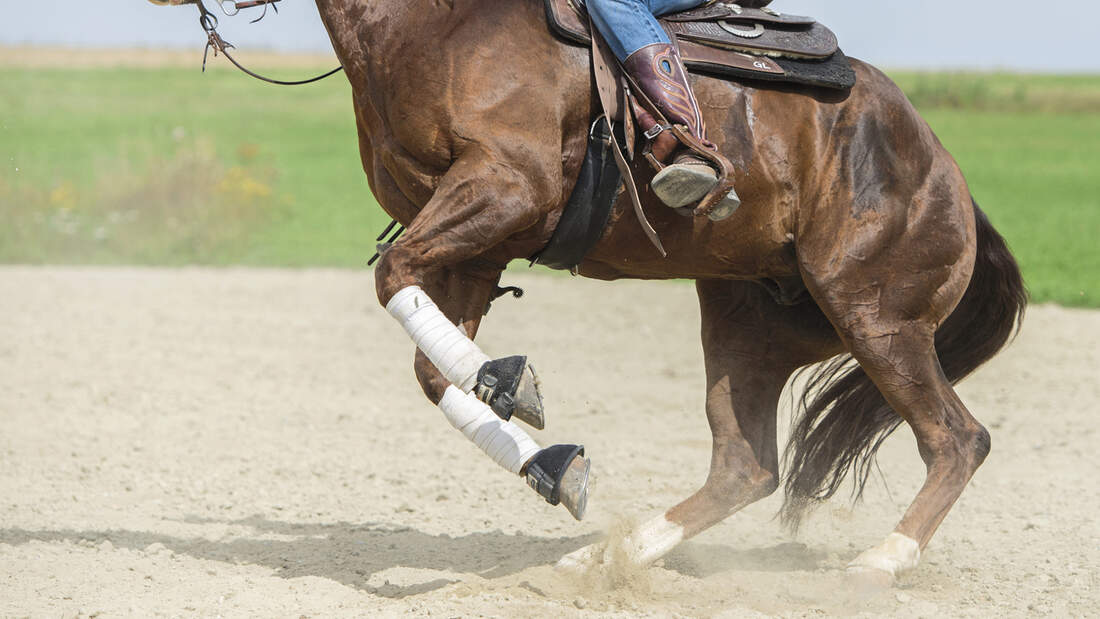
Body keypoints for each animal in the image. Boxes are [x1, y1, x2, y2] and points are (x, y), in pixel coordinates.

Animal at [235, 0, 1026, 583]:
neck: (438, 27)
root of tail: (947, 175)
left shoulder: (505, 186)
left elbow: (393, 278)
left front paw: (512, 383)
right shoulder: (476, 250)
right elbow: (435, 369)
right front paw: (546, 455)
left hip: (874, 317)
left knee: (958, 438)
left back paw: (880, 561)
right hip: (746, 324)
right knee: (745, 466)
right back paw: (606, 557)